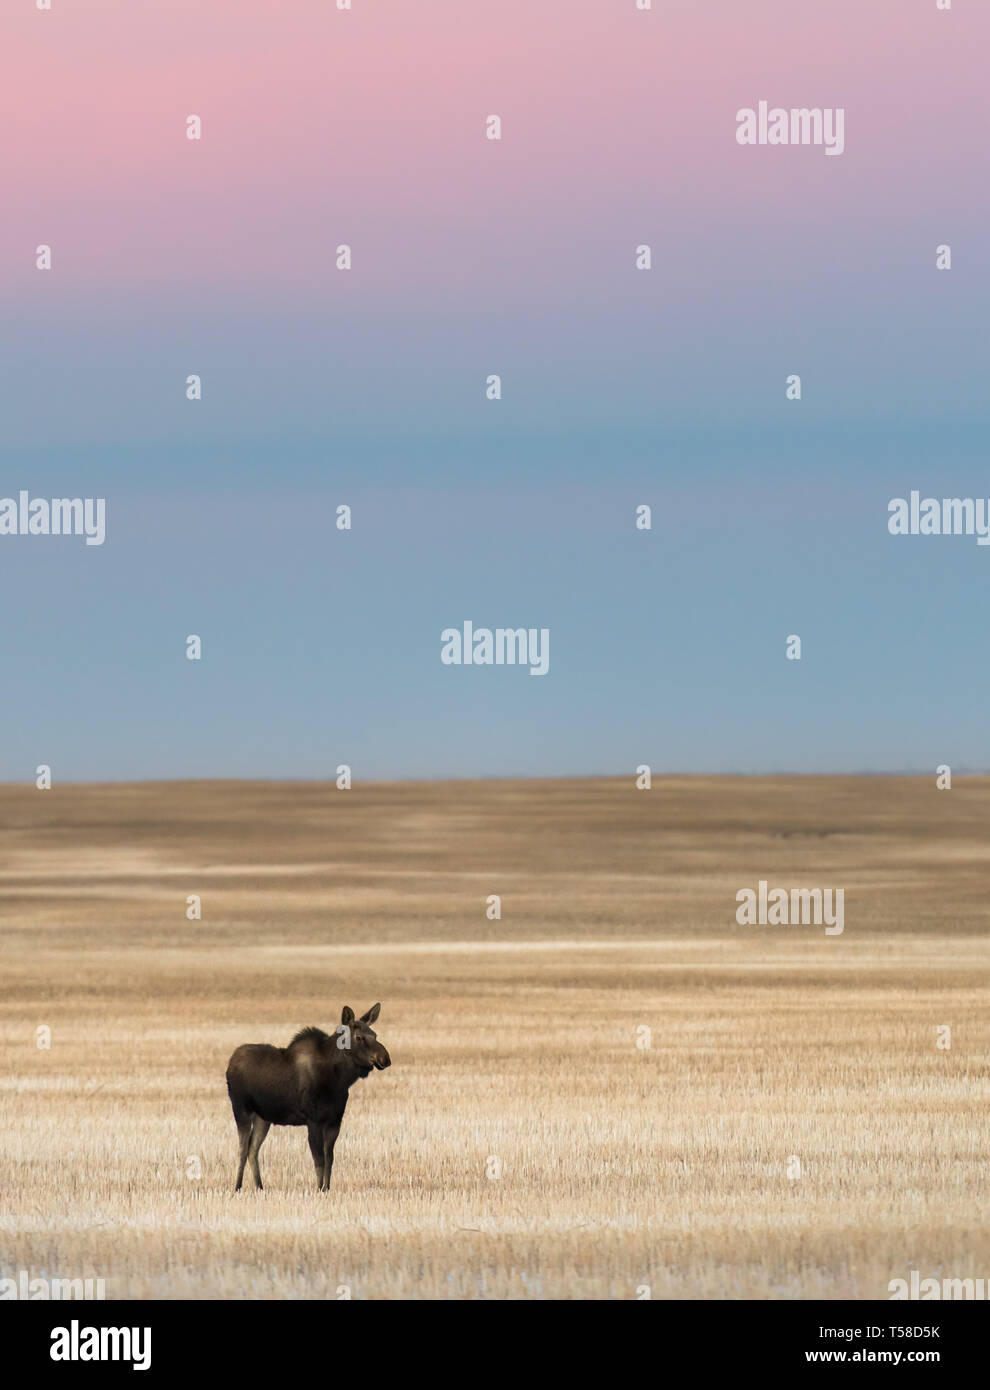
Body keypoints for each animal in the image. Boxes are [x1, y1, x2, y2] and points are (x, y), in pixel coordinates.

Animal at [225, 1003, 391, 1192]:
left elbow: (329, 1159)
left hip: (263, 1117)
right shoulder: (313, 1120)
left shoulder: (334, 1121)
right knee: (242, 1148)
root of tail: (230, 1064)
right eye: (358, 1037)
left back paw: (260, 1186)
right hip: (241, 1109)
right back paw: (237, 1187)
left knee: (253, 1149)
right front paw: (319, 1189)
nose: (385, 1058)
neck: (339, 1080)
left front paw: (327, 1189)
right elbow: (319, 1160)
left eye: (375, 1035)